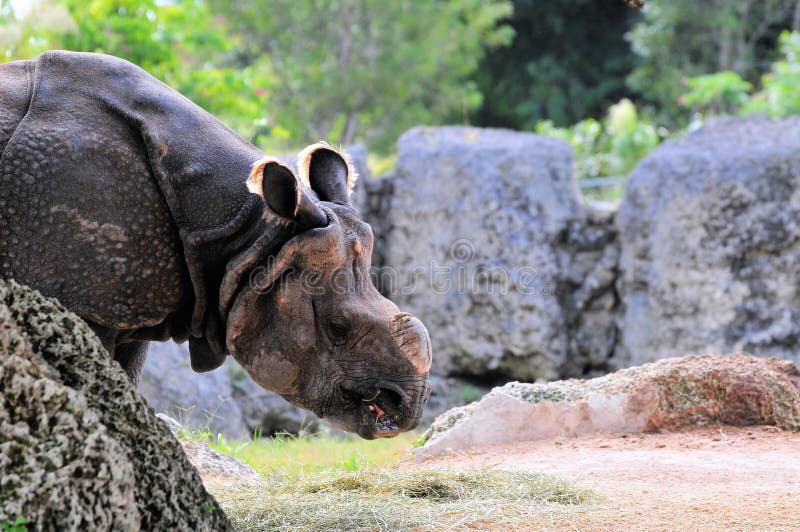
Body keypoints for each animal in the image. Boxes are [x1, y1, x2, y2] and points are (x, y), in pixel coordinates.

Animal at [0, 50, 431, 439]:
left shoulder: (127, 304)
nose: (407, 406)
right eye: (338, 327)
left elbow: (125, 384)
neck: (249, 236)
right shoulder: (83, 301)